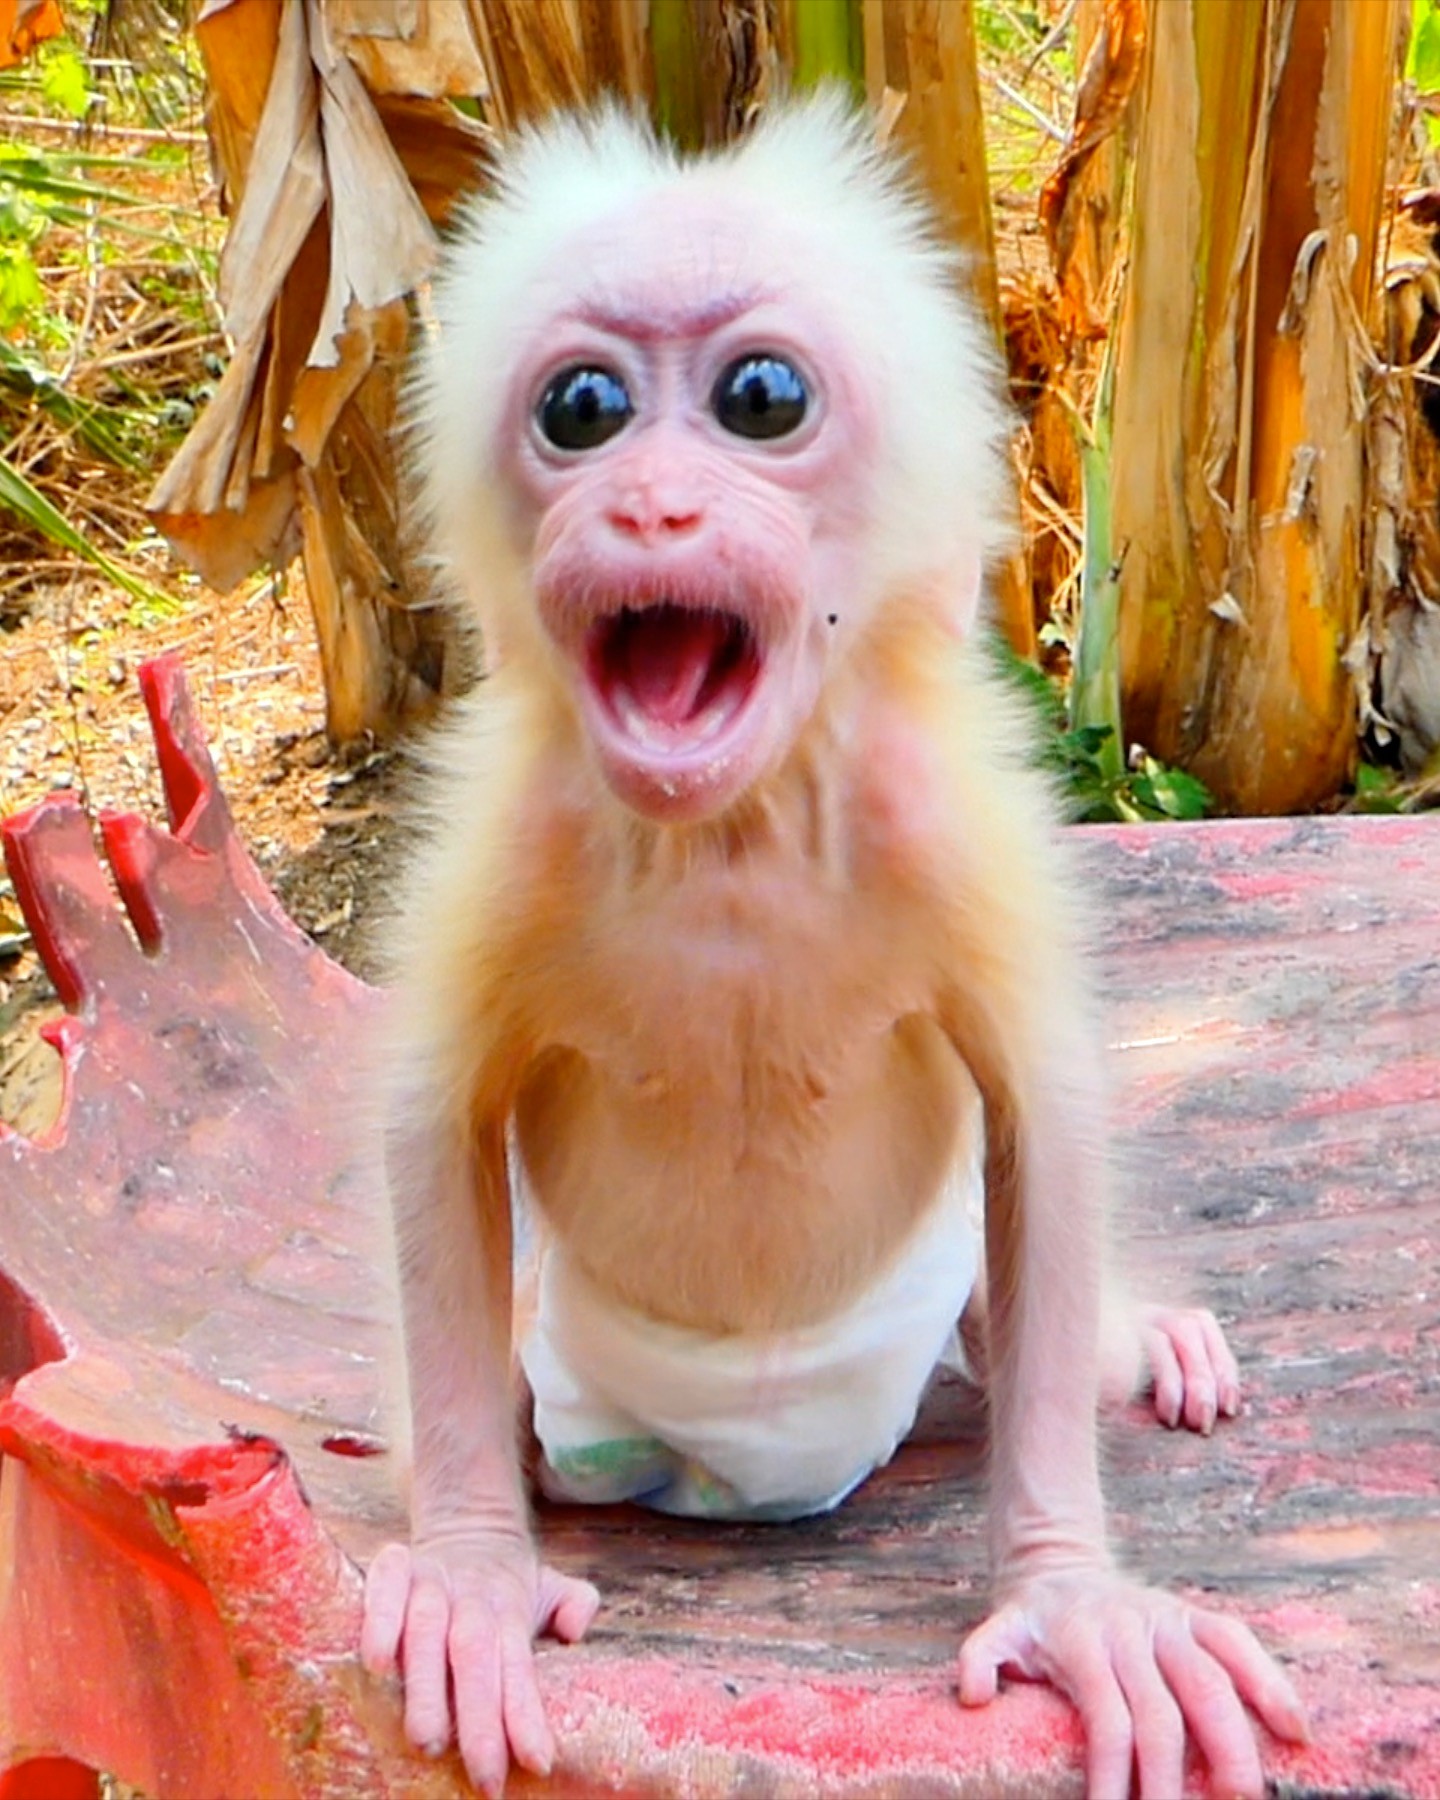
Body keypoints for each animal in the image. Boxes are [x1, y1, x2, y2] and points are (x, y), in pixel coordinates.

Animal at [359, 98, 1308, 1800]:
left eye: (760, 400)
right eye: (585, 410)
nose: (651, 509)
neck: (735, 828)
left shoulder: (950, 821)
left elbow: (1042, 1121)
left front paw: (1071, 1599)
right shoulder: (518, 829)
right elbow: (432, 1122)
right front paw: (469, 1569)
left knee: (1021, 1323)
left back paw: (1133, 1344)